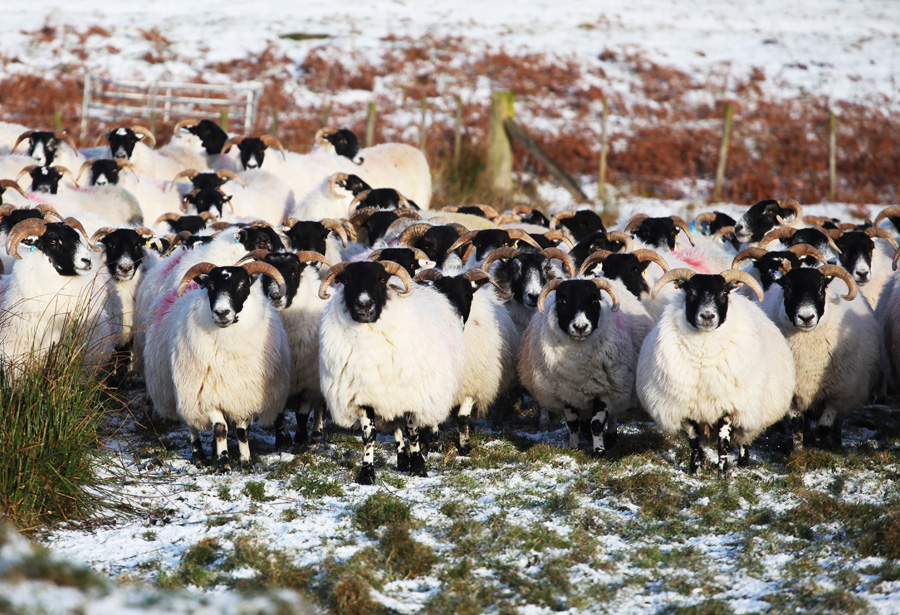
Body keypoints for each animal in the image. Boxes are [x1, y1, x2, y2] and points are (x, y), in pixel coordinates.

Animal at [148, 260, 290, 471]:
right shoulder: (208, 394)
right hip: (184, 389)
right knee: (191, 425)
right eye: (211, 286)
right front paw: (224, 464)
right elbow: (220, 429)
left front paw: (246, 463)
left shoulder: (241, 395)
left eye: (242, 285)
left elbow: (241, 432)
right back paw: (199, 456)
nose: (222, 313)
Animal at [317, 260, 466, 484]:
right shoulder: (363, 396)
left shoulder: (412, 395)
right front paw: (367, 473)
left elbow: (412, 431)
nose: (364, 305)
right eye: (347, 280)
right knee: (396, 428)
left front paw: (418, 466)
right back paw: (402, 460)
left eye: (381, 279)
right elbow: (369, 436)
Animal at [637, 268, 796, 476]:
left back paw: (743, 463)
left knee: (743, 440)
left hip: (749, 413)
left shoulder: (729, 407)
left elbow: (723, 443)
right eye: (690, 292)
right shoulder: (687, 408)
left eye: (724, 293)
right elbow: (694, 442)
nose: (707, 316)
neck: (703, 356)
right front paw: (695, 471)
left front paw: (722, 475)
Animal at [765, 264, 878, 450]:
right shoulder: (793, 392)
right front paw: (798, 451)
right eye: (787, 288)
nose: (806, 317)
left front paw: (826, 445)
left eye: (820, 287)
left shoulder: (837, 391)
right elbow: (797, 424)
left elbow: (825, 426)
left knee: (838, 420)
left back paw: (837, 443)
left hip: (850, 390)